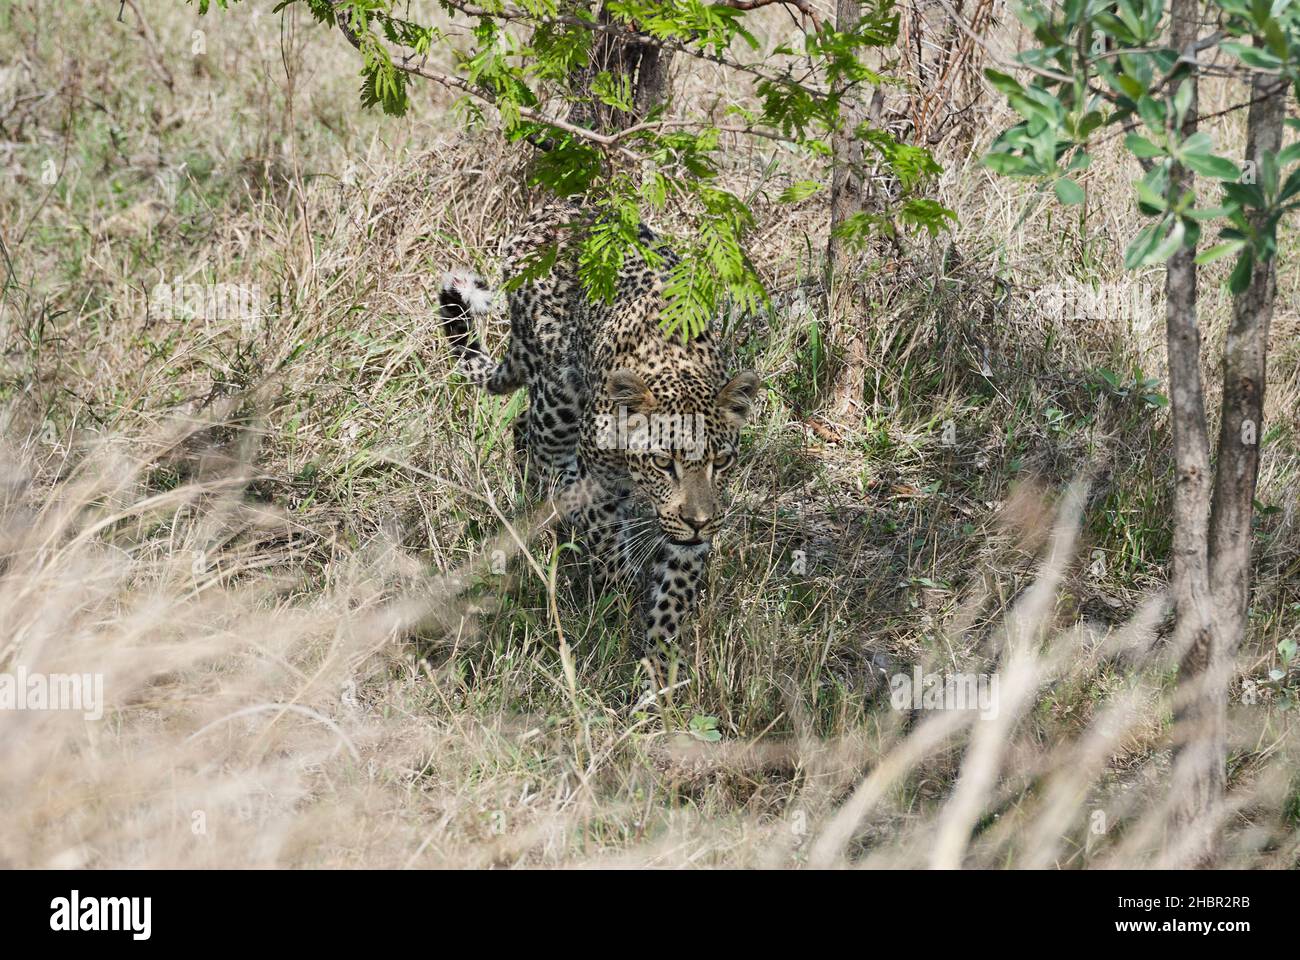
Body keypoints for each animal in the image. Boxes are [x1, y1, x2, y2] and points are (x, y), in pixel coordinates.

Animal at [437, 200, 761, 675]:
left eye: (720, 462)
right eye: (663, 462)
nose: (700, 523)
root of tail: (550, 210)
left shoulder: (690, 526)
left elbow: (674, 591)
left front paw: (662, 668)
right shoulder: (604, 483)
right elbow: (606, 538)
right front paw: (619, 593)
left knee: (523, 426)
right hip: (556, 393)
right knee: (541, 445)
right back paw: (557, 504)